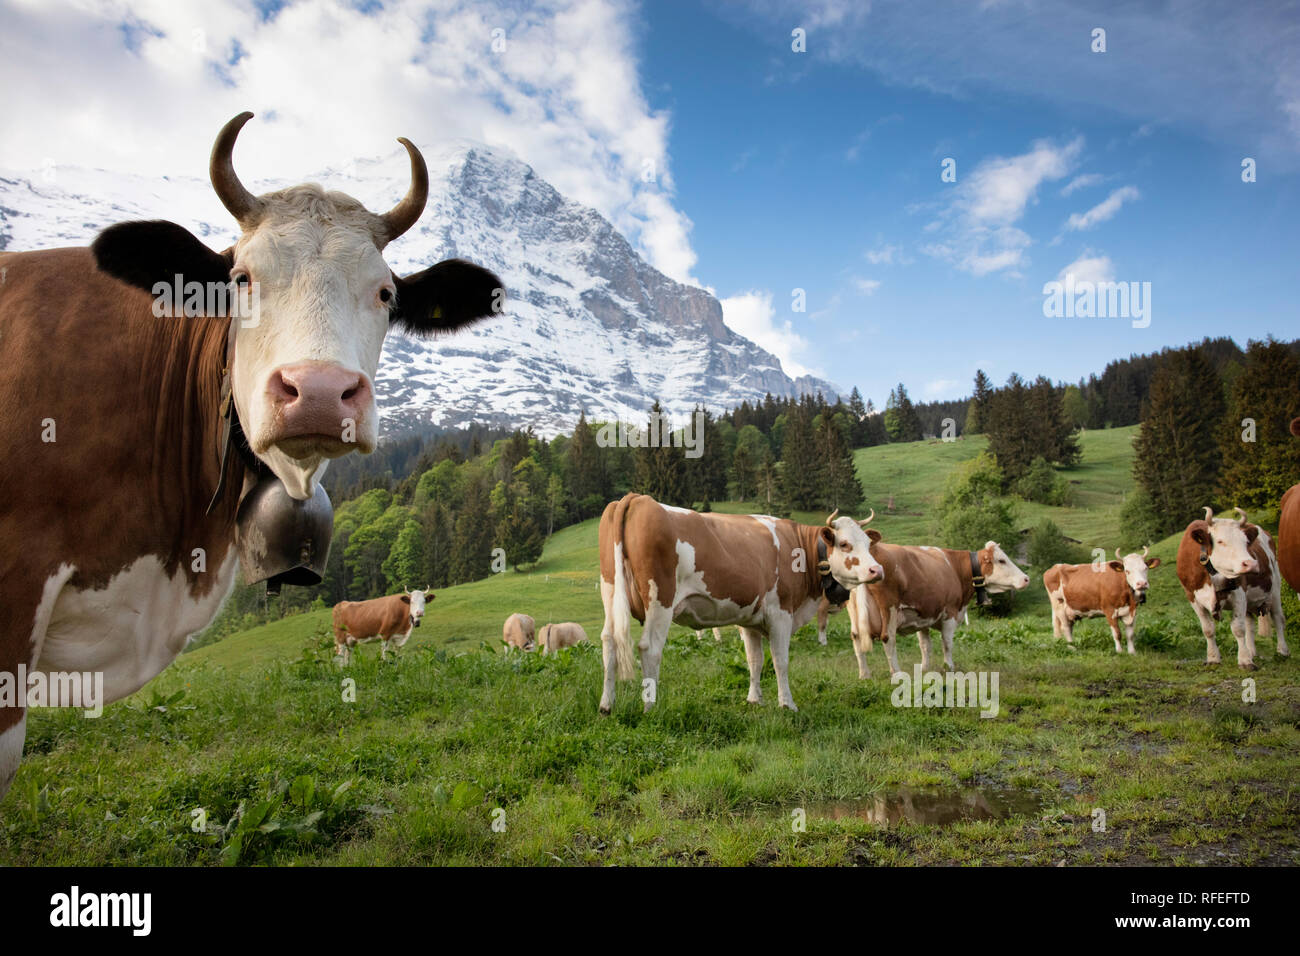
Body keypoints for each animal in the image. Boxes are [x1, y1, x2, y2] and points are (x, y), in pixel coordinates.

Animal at [597, 493, 884, 713]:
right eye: (844, 544)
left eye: (868, 543)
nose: (877, 570)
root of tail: (639, 498)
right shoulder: (781, 614)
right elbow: (780, 661)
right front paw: (787, 704)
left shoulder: (750, 619)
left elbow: (754, 659)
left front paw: (755, 700)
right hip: (660, 601)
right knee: (650, 649)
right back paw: (650, 707)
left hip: (611, 593)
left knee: (609, 642)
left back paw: (606, 706)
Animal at [848, 541, 1030, 678]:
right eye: (1001, 560)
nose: (1026, 578)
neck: (957, 568)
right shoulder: (950, 613)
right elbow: (947, 643)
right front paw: (949, 667)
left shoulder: (922, 617)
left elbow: (925, 645)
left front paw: (924, 669)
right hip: (889, 610)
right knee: (888, 639)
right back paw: (896, 673)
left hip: (855, 614)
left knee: (856, 639)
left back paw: (864, 675)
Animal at [1176, 507, 1288, 668]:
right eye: (1220, 541)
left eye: (1246, 542)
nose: (1251, 564)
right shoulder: (1192, 597)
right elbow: (1208, 629)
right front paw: (1213, 658)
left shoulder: (1239, 592)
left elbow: (1238, 628)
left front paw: (1245, 661)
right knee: (1250, 623)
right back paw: (1252, 652)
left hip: (1275, 588)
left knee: (1278, 618)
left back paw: (1282, 651)